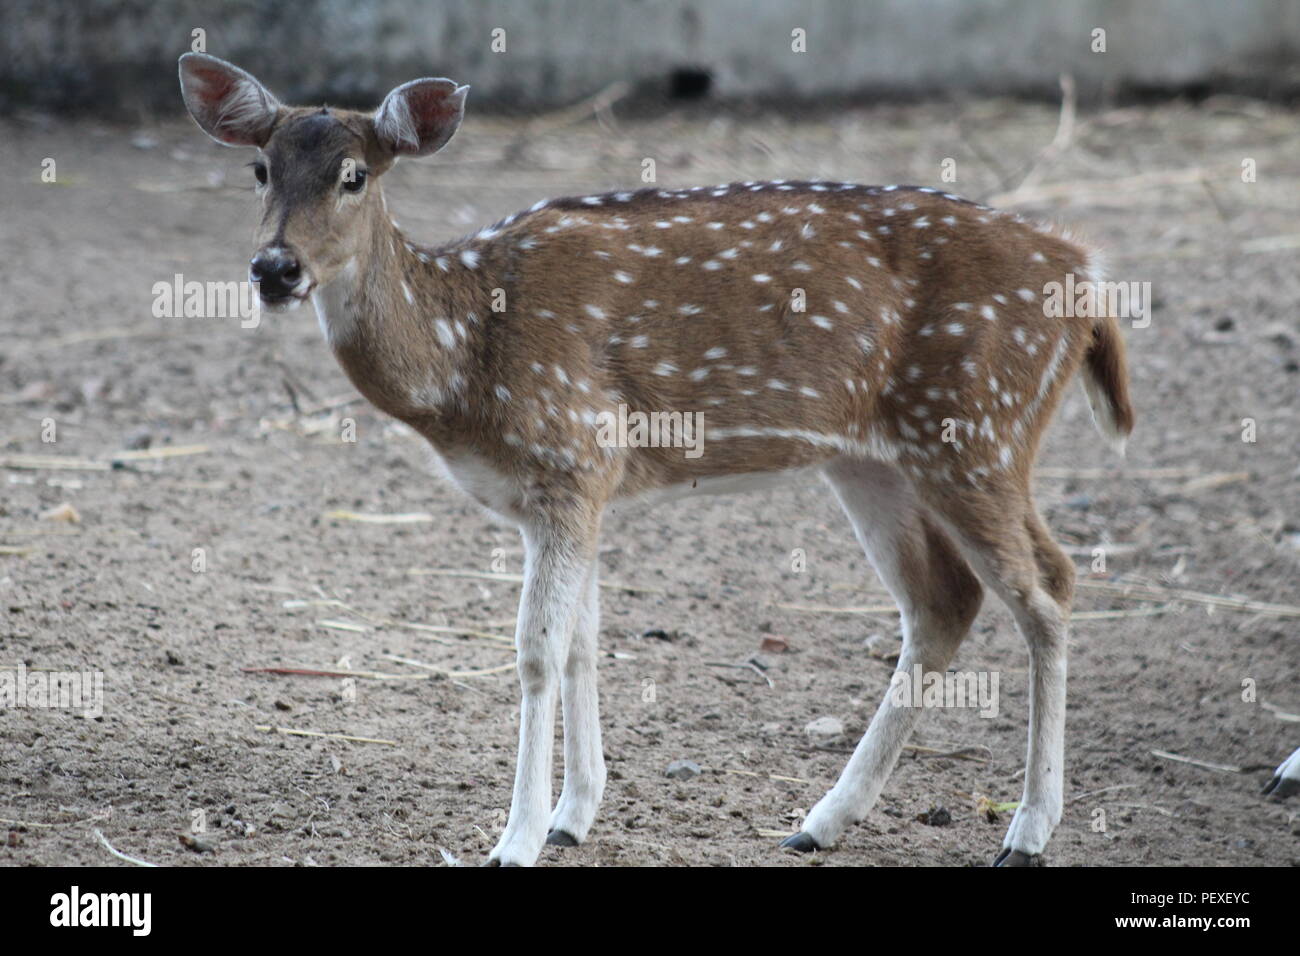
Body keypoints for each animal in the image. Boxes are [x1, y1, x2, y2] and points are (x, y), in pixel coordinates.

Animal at [179, 52, 1136, 867]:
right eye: (261, 170)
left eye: (355, 175)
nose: (274, 267)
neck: (465, 361)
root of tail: (1087, 281)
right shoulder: (570, 493)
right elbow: (583, 642)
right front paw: (572, 817)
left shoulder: (572, 454)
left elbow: (535, 650)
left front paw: (515, 839)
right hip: (877, 460)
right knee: (944, 600)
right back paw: (820, 822)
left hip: (980, 430)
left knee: (1048, 587)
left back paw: (1027, 830)